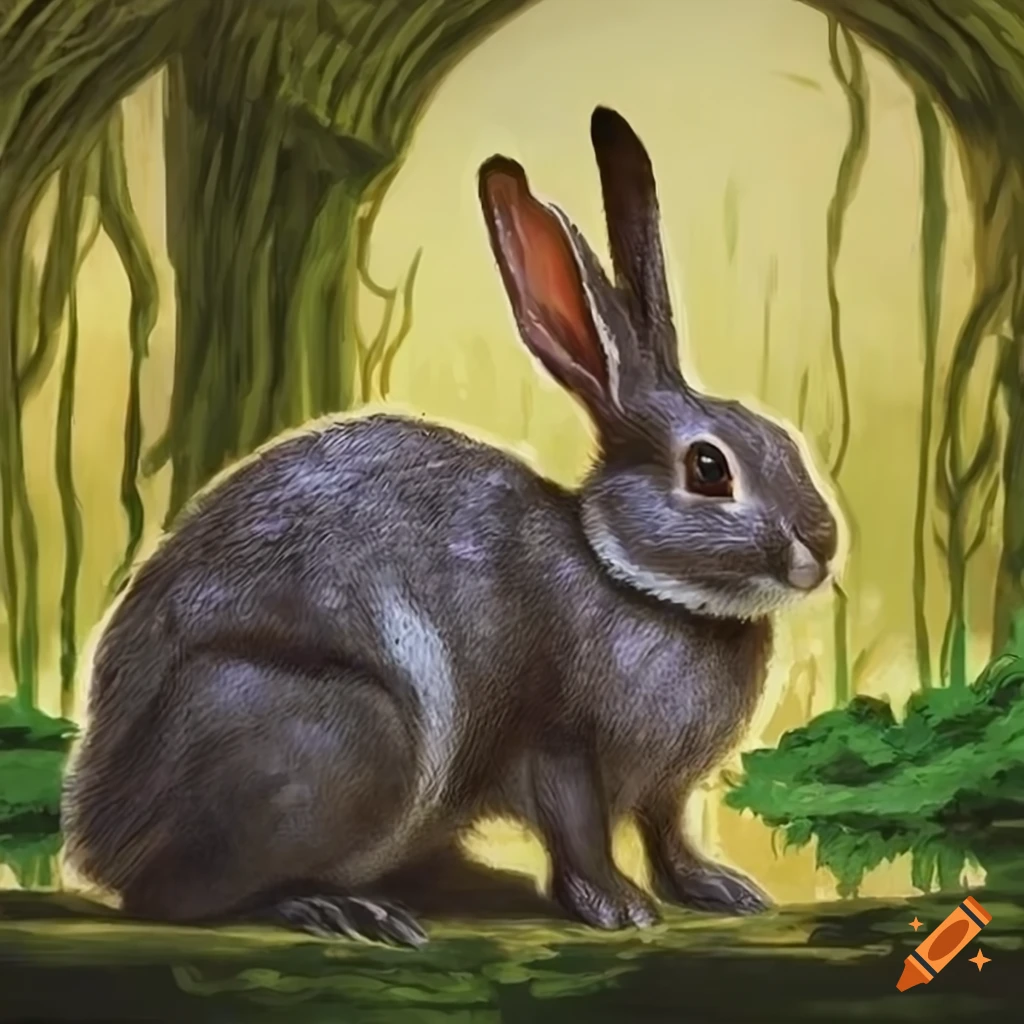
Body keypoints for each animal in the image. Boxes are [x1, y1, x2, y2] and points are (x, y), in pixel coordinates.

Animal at [61, 106, 839, 948]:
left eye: (780, 438)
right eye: (708, 468)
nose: (822, 548)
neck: (626, 576)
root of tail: (101, 834)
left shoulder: (668, 788)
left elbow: (670, 834)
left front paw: (719, 888)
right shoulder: (557, 747)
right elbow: (580, 835)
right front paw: (619, 909)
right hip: (341, 738)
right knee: (179, 896)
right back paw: (340, 908)